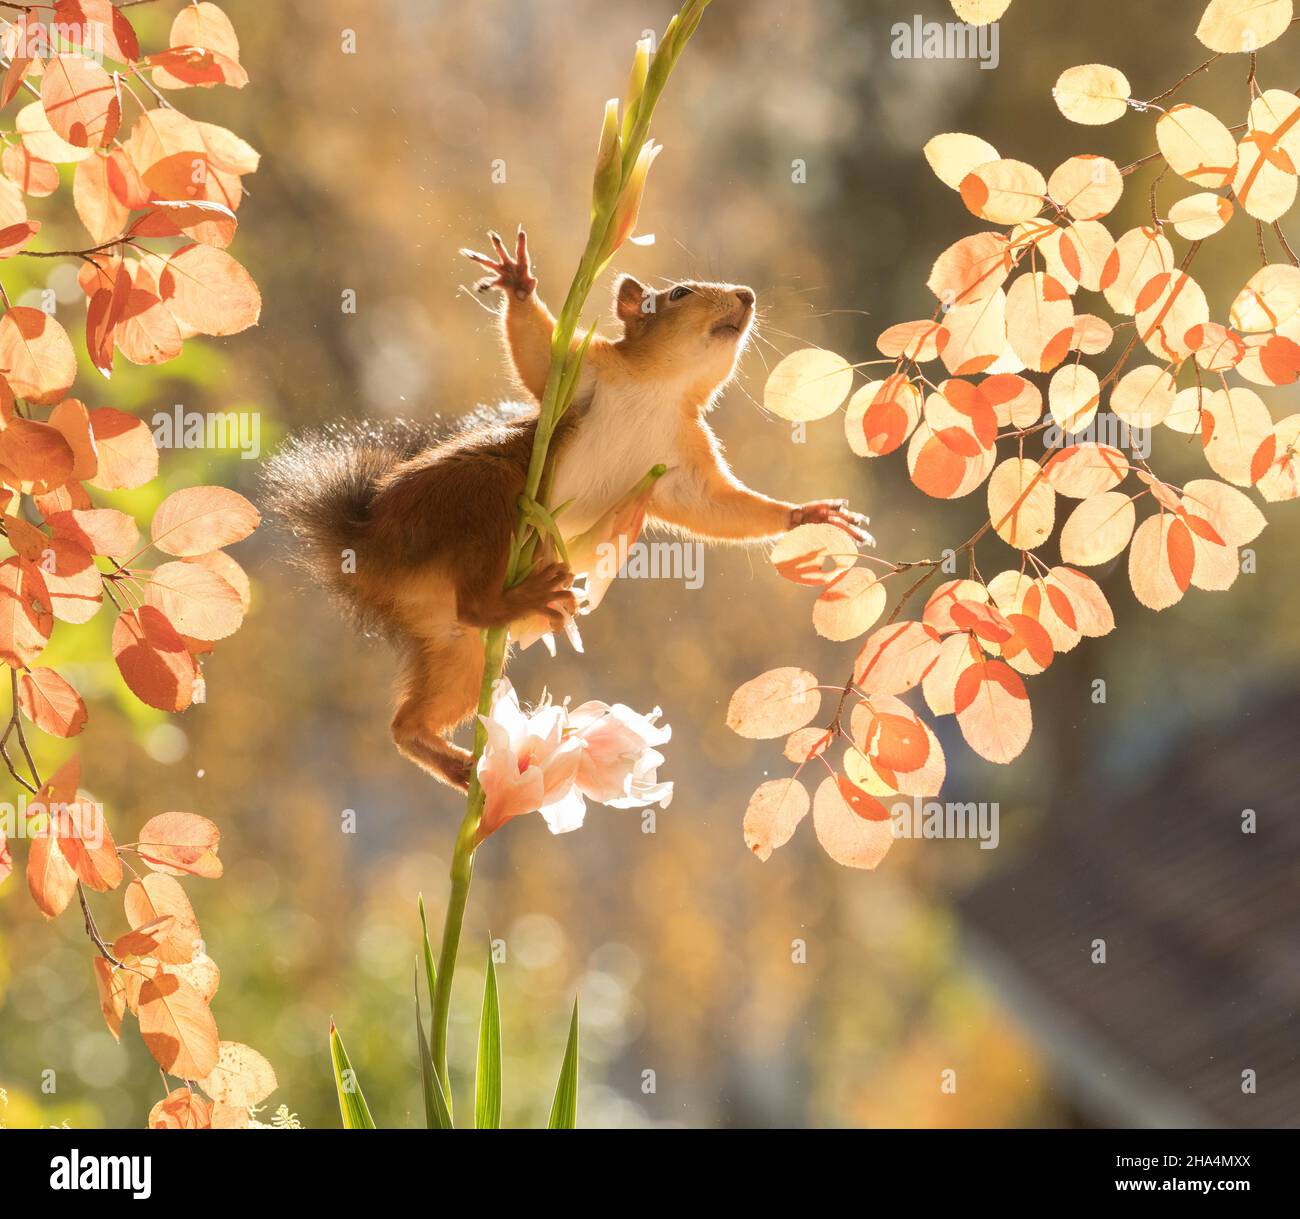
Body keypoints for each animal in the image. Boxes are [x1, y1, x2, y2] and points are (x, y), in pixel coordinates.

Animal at [262, 228, 870, 792]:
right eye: (679, 293)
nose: (746, 296)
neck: (661, 386)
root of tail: (368, 545)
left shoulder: (685, 465)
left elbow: (721, 509)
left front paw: (807, 516)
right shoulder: (582, 370)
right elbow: (537, 352)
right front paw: (517, 279)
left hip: (454, 646)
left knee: (419, 705)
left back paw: (458, 760)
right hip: (482, 496)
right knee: (478, 598)